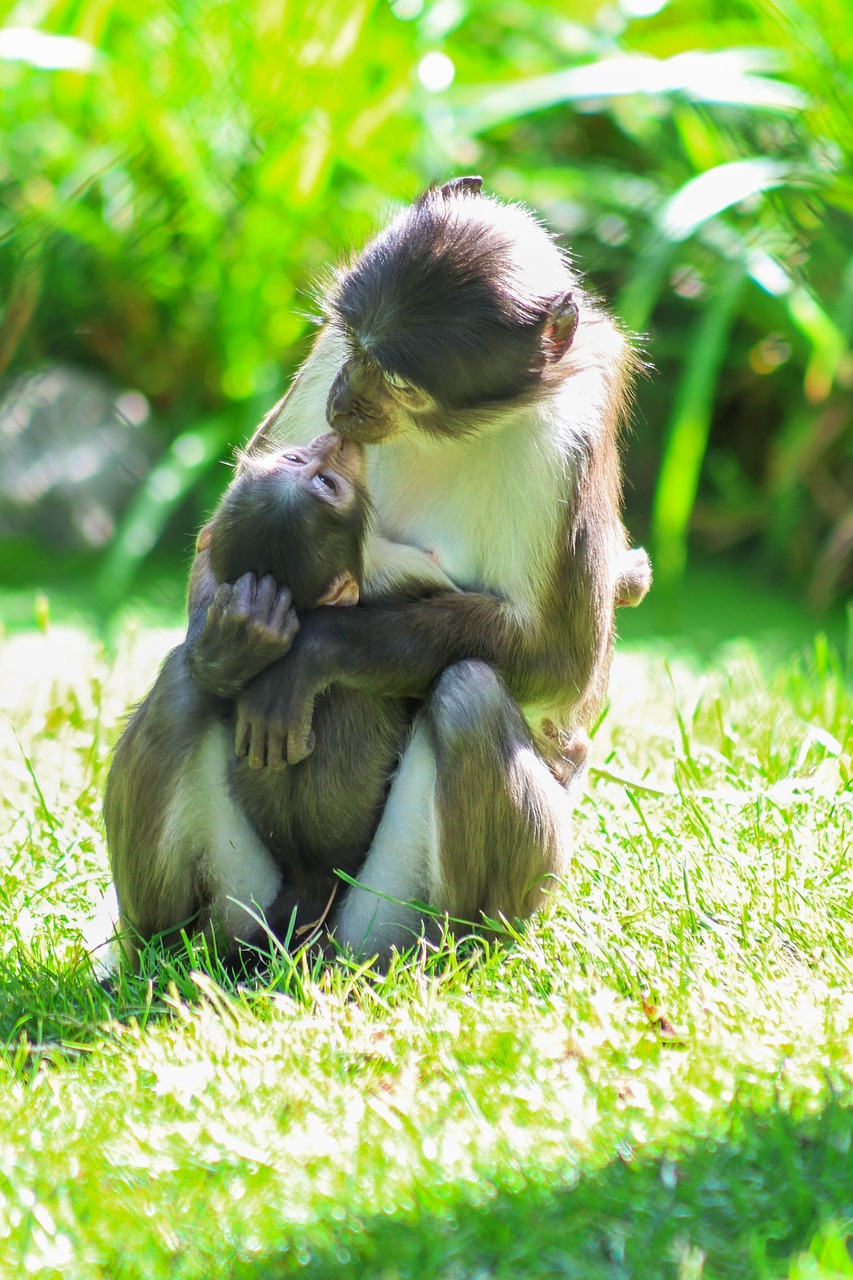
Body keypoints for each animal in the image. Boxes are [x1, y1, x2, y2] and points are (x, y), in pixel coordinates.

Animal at [177, 176, 646, 962]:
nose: (341, 401)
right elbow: (218, 539)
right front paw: (231, 644)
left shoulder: (574, 428)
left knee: (468, 692)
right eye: (355, 349)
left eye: (400, 382)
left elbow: (563, 665)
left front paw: (308, 652)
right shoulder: (327, 351)